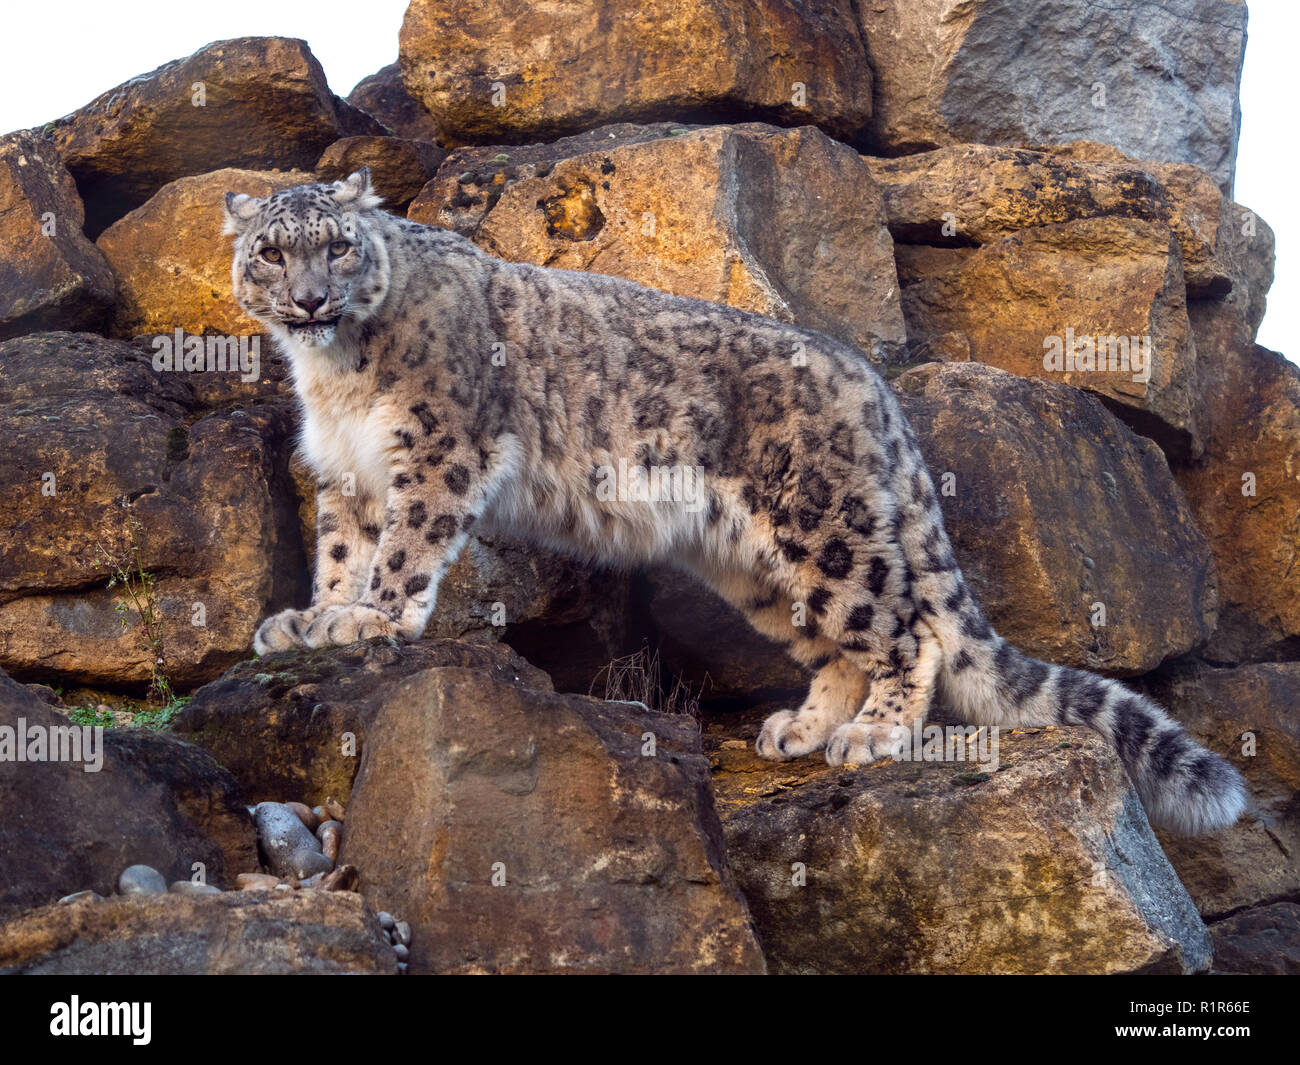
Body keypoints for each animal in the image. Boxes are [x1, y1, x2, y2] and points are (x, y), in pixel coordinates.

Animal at [224, 167, 1245, 835]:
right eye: (271, 253)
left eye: (337, 246)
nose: (309, 299)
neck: (335, 375)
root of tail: (867, 379)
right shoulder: (348, 474)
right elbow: (344, 551)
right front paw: (311, 619)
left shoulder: (439, 450)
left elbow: (404, 550)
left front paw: (368, 621)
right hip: (757, 565)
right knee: (838, 643)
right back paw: (804, 726)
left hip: (825, 526)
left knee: (906, 627)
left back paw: (873, 735)